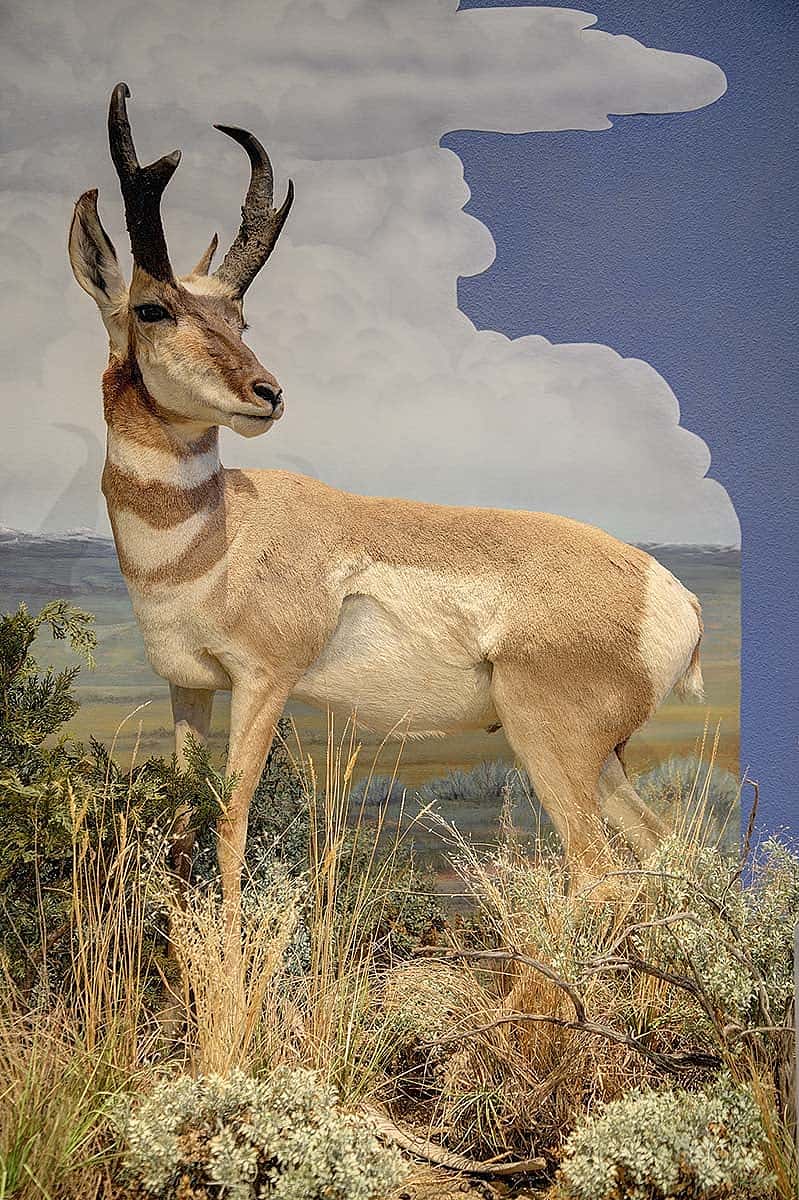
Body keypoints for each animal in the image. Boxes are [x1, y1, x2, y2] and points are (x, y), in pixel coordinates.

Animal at [69, 84, 704, 934]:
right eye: (151, 309)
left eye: (241, 318)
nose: (267, 393)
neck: (217, 532)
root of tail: (668, 592)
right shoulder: (188, 685)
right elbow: (181, 821)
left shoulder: (263, 681)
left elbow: (230, 821)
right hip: (599, 760)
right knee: (663, 849)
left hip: (551, 746)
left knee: (597, 872)